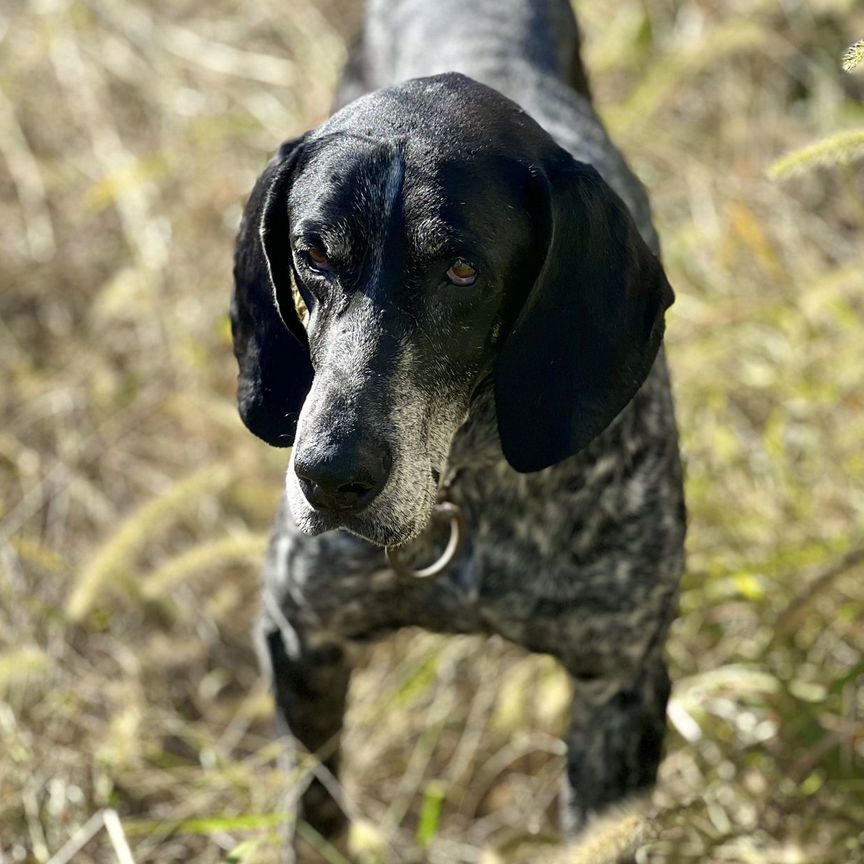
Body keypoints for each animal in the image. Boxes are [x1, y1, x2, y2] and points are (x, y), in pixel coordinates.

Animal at [231, 0, 688, 852]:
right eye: (312, 254)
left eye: (462, 271)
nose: (329, 479)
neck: (469, 490)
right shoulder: (301, 641)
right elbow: (315, 817)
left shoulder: (621, 687)